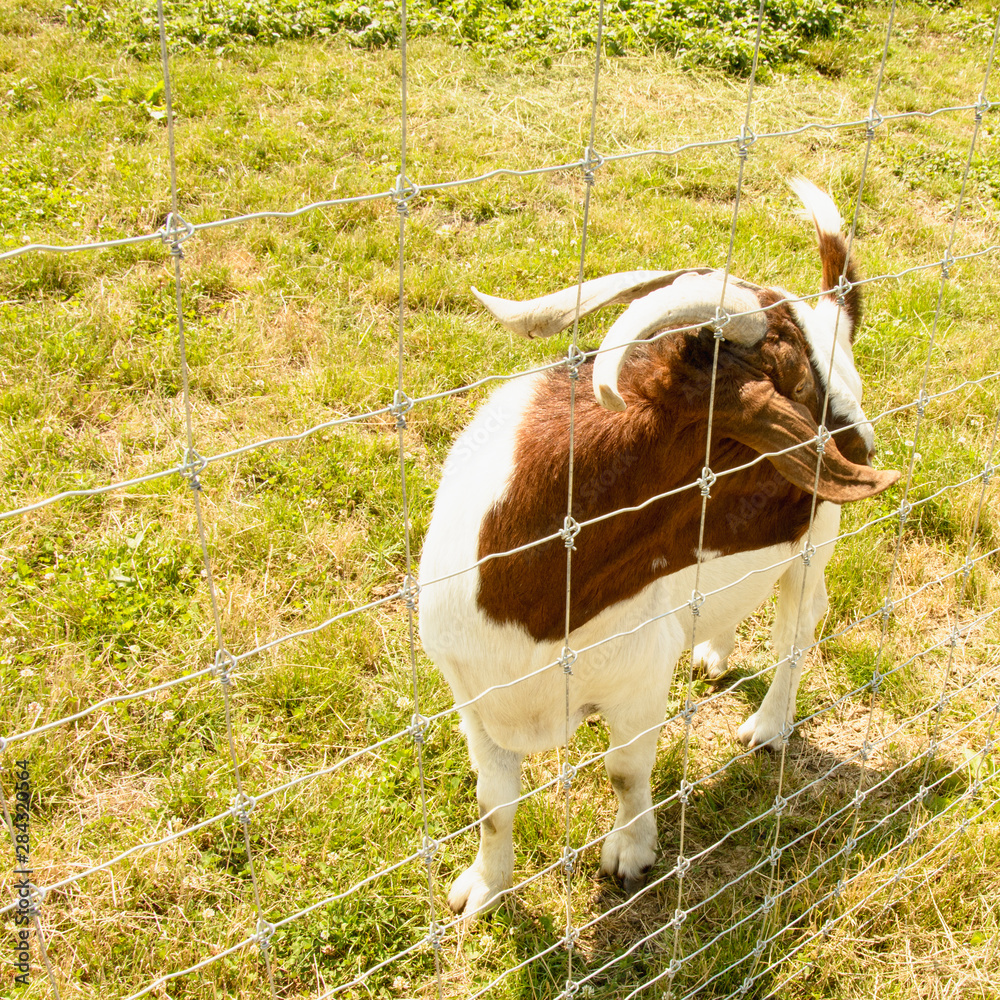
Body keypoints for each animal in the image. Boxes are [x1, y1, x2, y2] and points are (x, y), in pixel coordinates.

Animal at [418, 180, 899, 919]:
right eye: (792, 371)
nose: (862, 442)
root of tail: (838, 318)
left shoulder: (638, 682)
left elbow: (623, 772)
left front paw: (630, 852)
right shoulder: (472, 695)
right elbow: (494, 804)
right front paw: (483, 889)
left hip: (812, 540)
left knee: (797, 627)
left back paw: (768, 726)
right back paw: (714, 655)